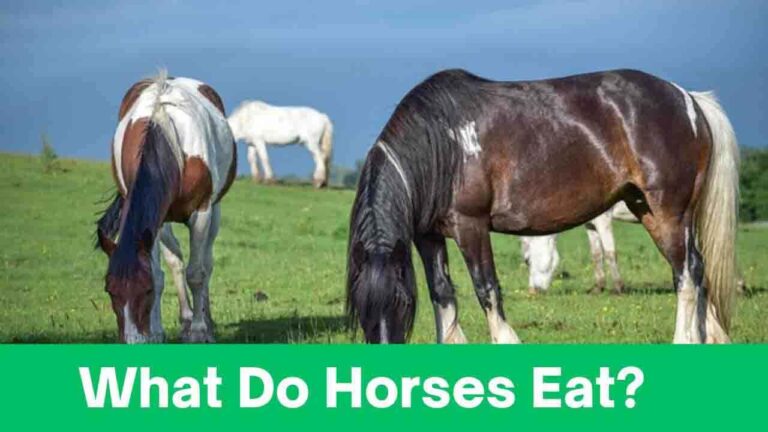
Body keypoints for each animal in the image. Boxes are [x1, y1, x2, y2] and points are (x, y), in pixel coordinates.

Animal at [95, 71, 237, 343]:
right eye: (109, 290)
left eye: (146, 290)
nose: (133, 340)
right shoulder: (155, 222)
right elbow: (161, 271)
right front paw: (157, 333)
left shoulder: (202, 212)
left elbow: (197, 273)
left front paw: (199, 332)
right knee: (177, 263)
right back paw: (186, 320)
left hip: (215, 211)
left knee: (206, 263)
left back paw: (206, 324)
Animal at [346, 68, 739, 344]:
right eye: (362, 309)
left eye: (402, 304)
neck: (443, 144)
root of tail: (687, 98)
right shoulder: (428, 236)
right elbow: (442, 294)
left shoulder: (470, 226)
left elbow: (487, 290)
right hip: (648, 210)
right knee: (698, 270)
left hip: (670, 212)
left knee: (685, 275)